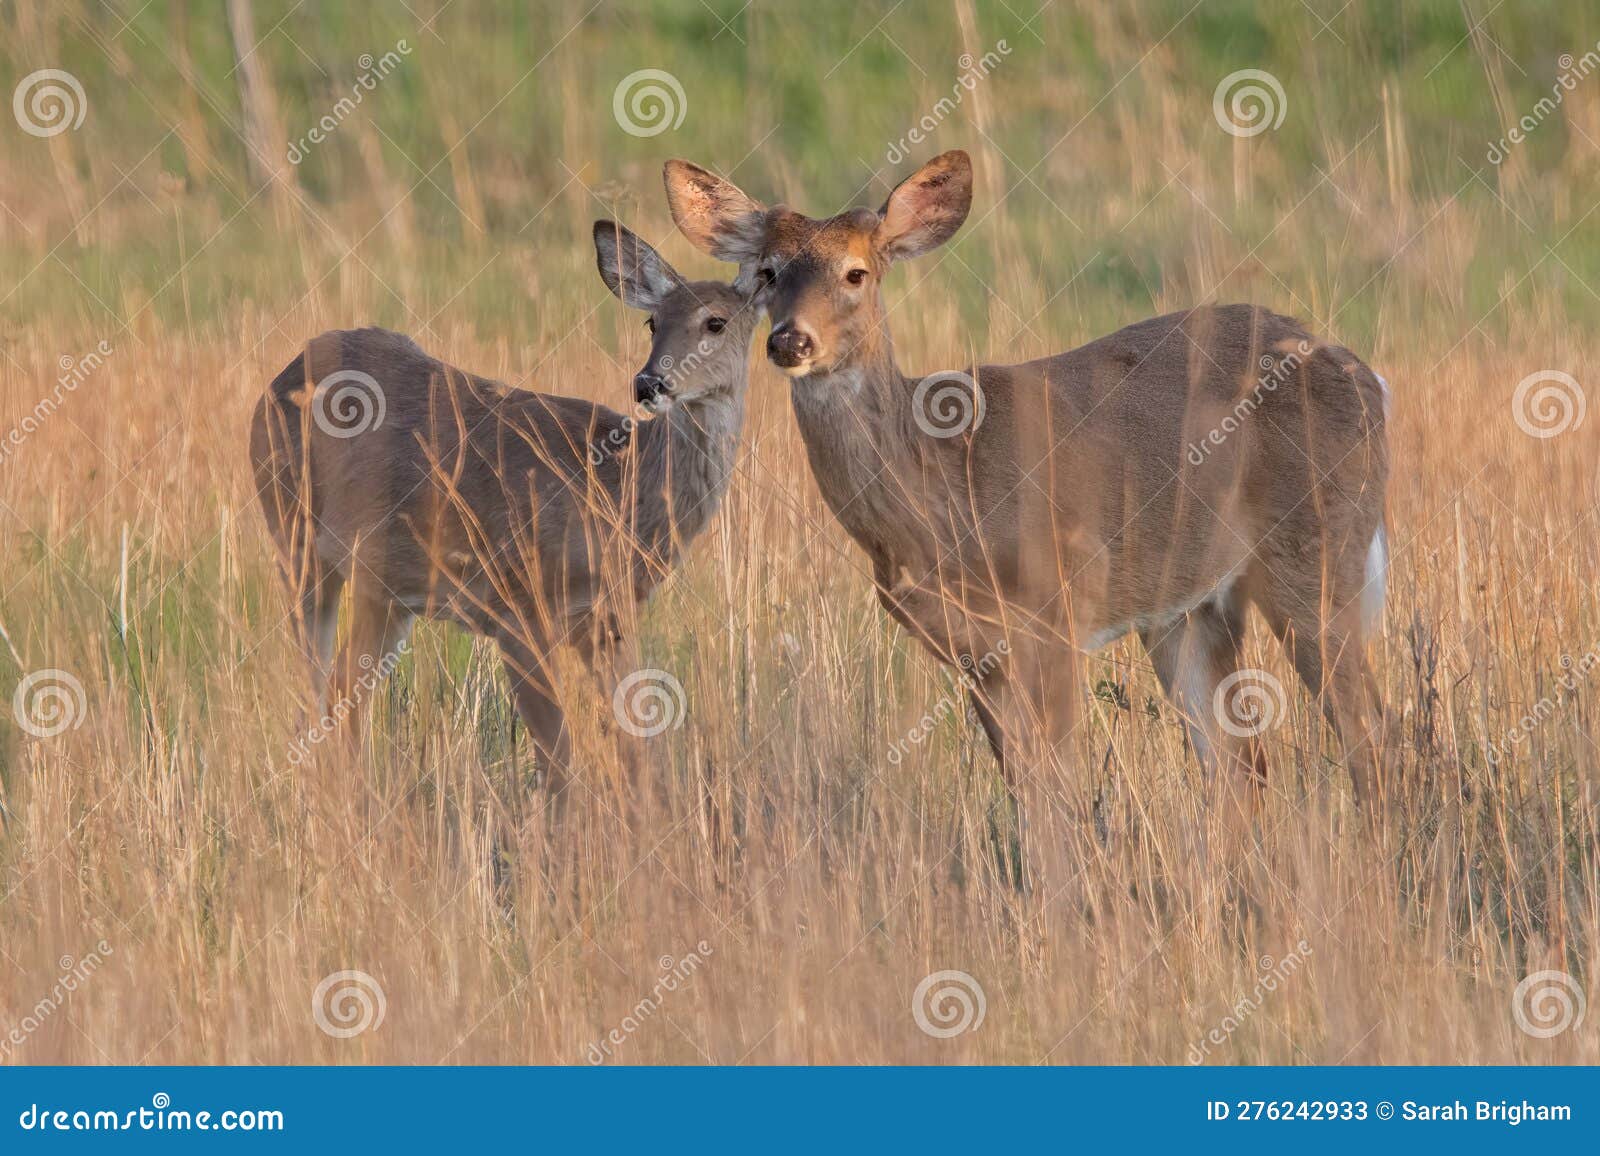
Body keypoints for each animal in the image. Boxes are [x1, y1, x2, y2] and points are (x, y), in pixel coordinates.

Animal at [248, 220, 760, 803]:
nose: (649, 382)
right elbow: (559, 762)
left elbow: (637, 751)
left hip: (384, 586)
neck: (620, 491)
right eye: (653, 322)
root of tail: (281, 377)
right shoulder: (516, 606)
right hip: (294, 538)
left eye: (716, 321)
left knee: (341, 698)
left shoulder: (605, 619)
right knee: (312, 689)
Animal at [662, 151, 1389, 837]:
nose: (791, 341)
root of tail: (1368, 376)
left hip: (1318, 549)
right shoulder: (971, 651)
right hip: (1189, 605)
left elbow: (1059, 793)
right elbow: (1028, 795)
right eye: (767, 272)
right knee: (1242, 766)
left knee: (1371, 734)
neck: (943, 495)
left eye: (856, 273)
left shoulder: (1061, 606)